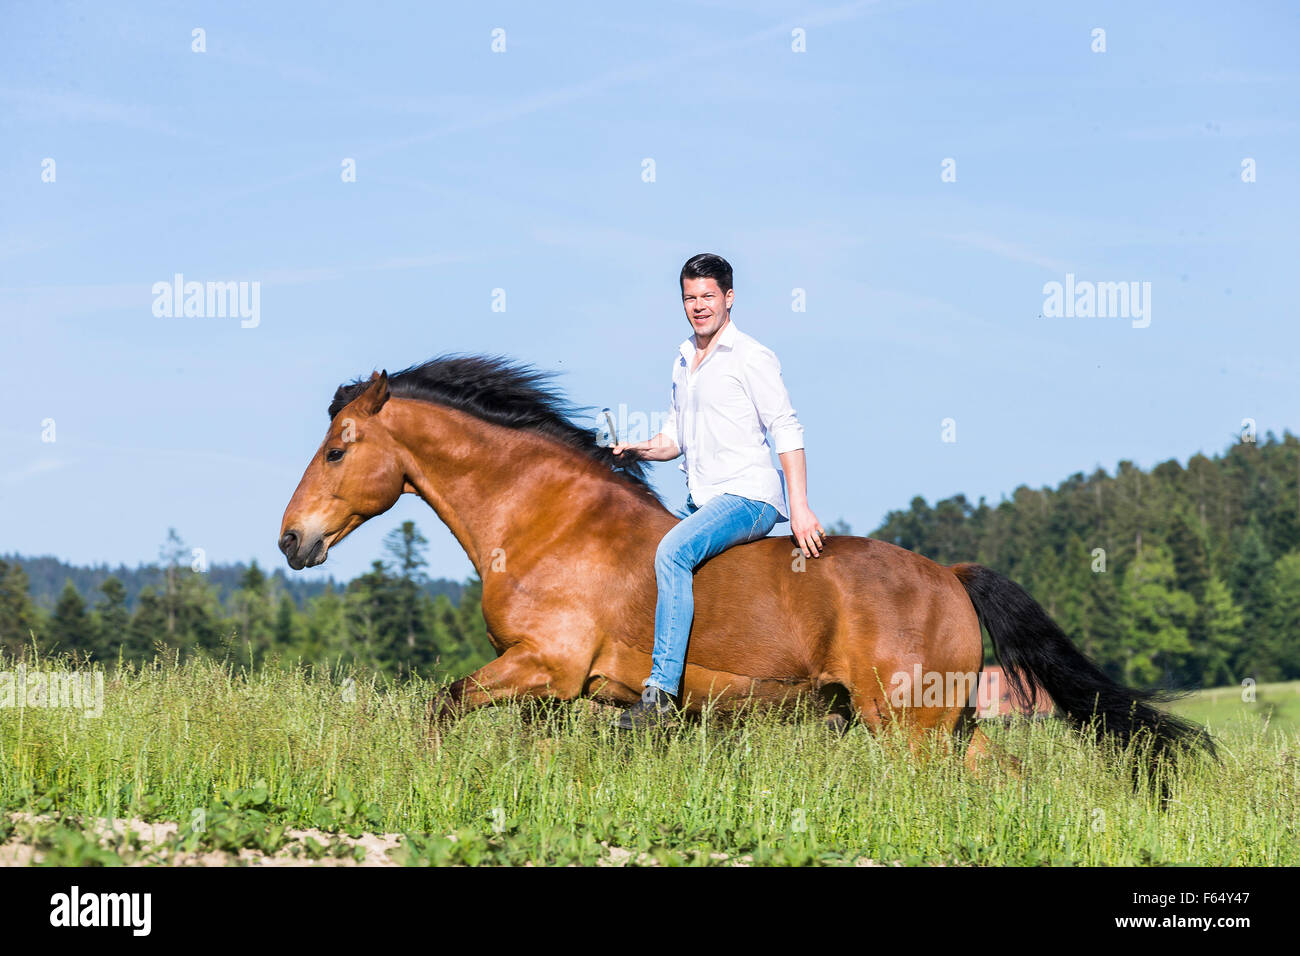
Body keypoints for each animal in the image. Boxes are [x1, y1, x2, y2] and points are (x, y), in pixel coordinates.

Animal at [277, 355, 1213, 777]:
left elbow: (440, 706)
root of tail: (950, 575)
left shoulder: (545, 665)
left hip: (907, 726)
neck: (543, 525)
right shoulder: (551, 690)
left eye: (337, 448)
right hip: (943, 723)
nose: (290, 541)